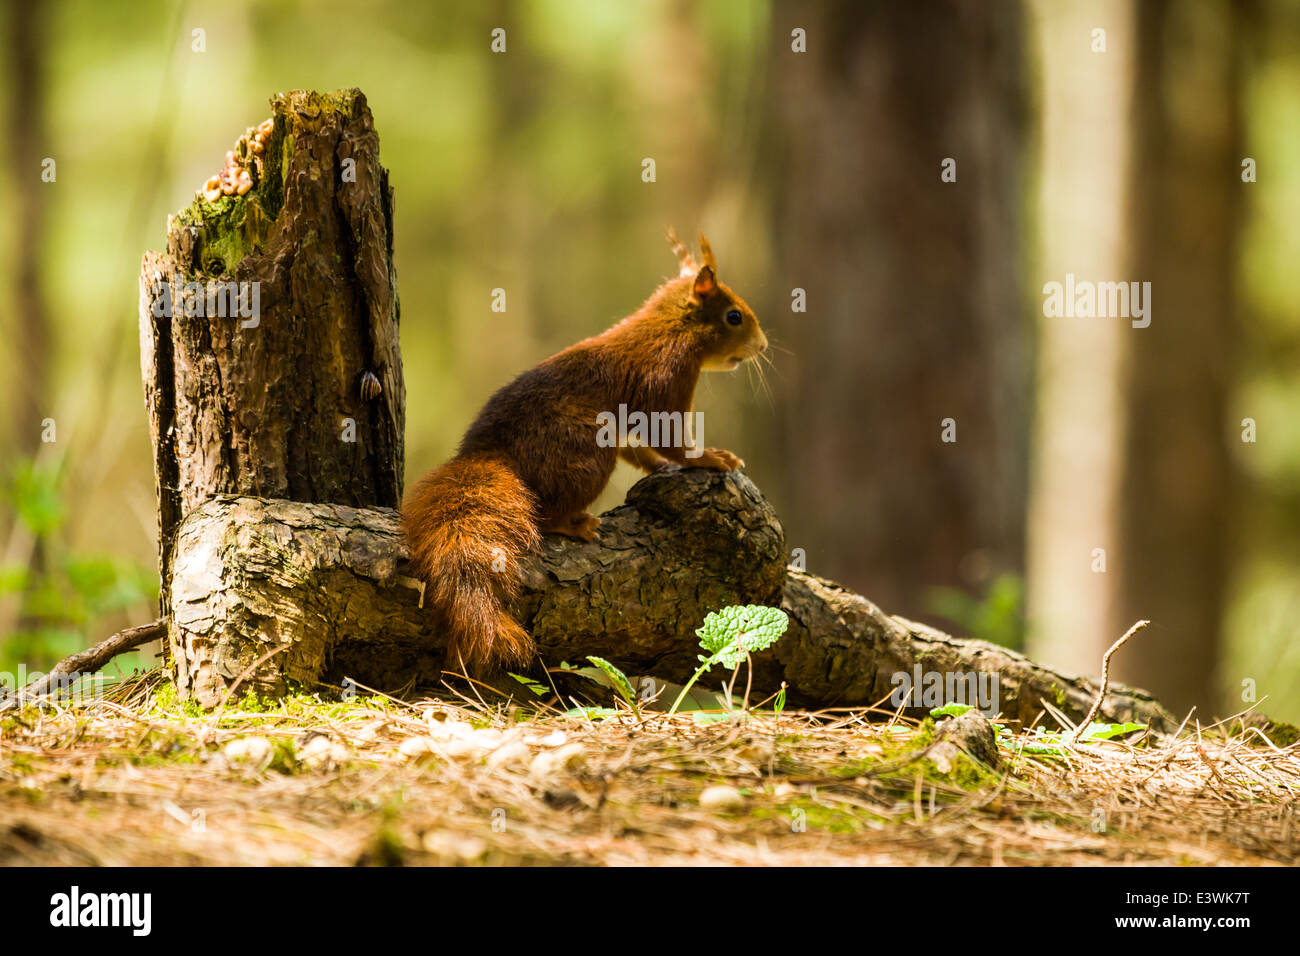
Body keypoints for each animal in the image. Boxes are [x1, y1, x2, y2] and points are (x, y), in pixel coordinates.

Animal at [401, 229, 768, 674]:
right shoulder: (666, 377)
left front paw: (656, 466)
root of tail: (488, 452)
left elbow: (642, 449)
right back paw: (573, 524)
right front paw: (710, 457)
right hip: (586, 455)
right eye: (734, 317)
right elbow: (672, 439)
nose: (762, 345)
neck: (670, 328)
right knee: (548, 515)